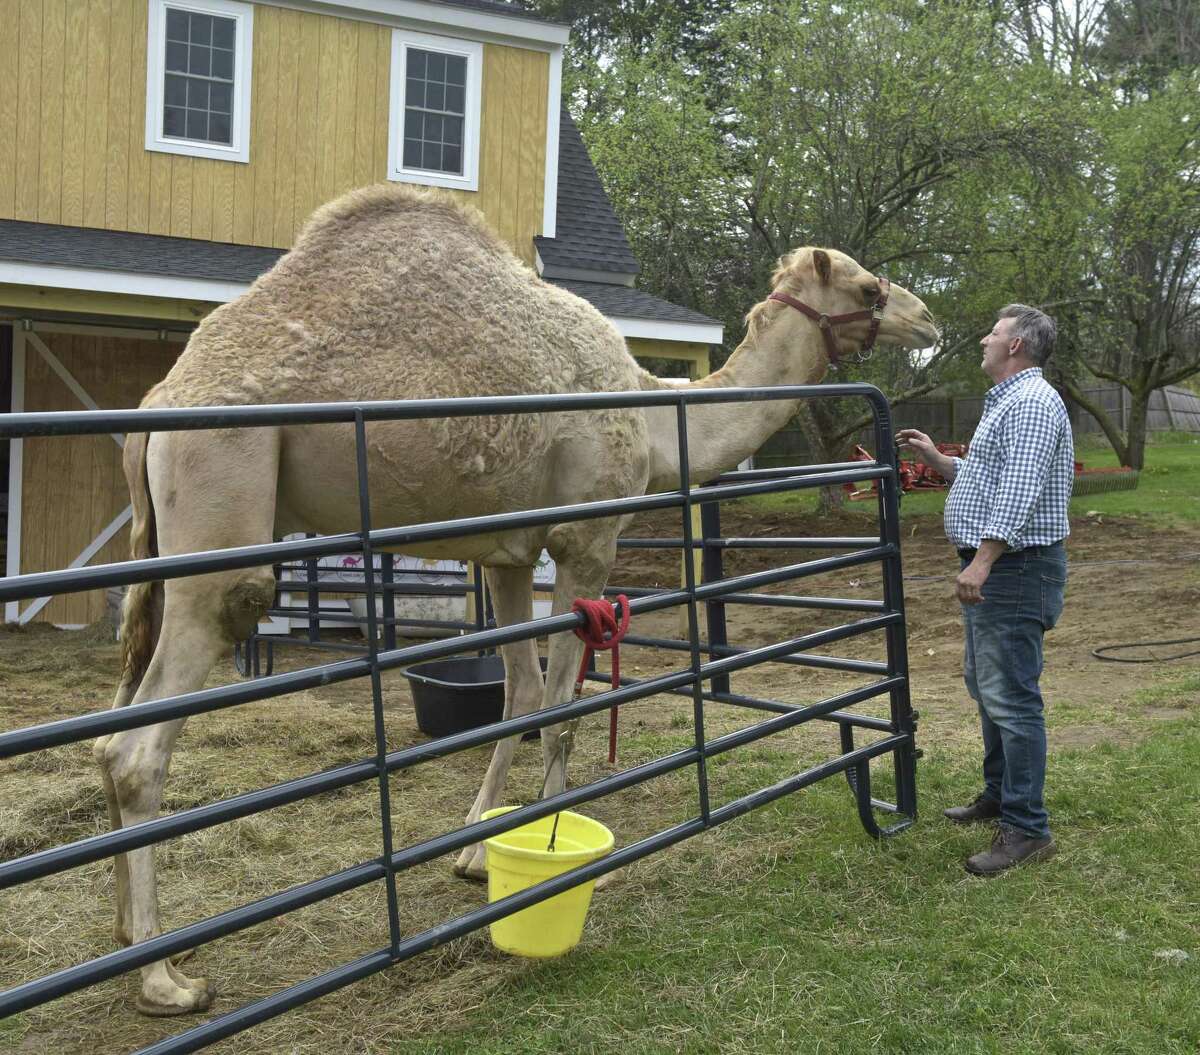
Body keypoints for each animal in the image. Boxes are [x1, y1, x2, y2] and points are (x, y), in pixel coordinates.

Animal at [94, 183, 937, 1015]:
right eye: (869, 288)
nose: (927, 317)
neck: (652, 415)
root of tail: (160, 400)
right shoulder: (585, 540)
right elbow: (561, 710)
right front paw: (558, 849)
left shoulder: (507, 553)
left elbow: (518, 700)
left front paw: (476, 849)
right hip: (222, 503)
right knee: (143, 739)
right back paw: (164, 979)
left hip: (164, 551)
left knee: (113, 726)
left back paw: (133, 938)